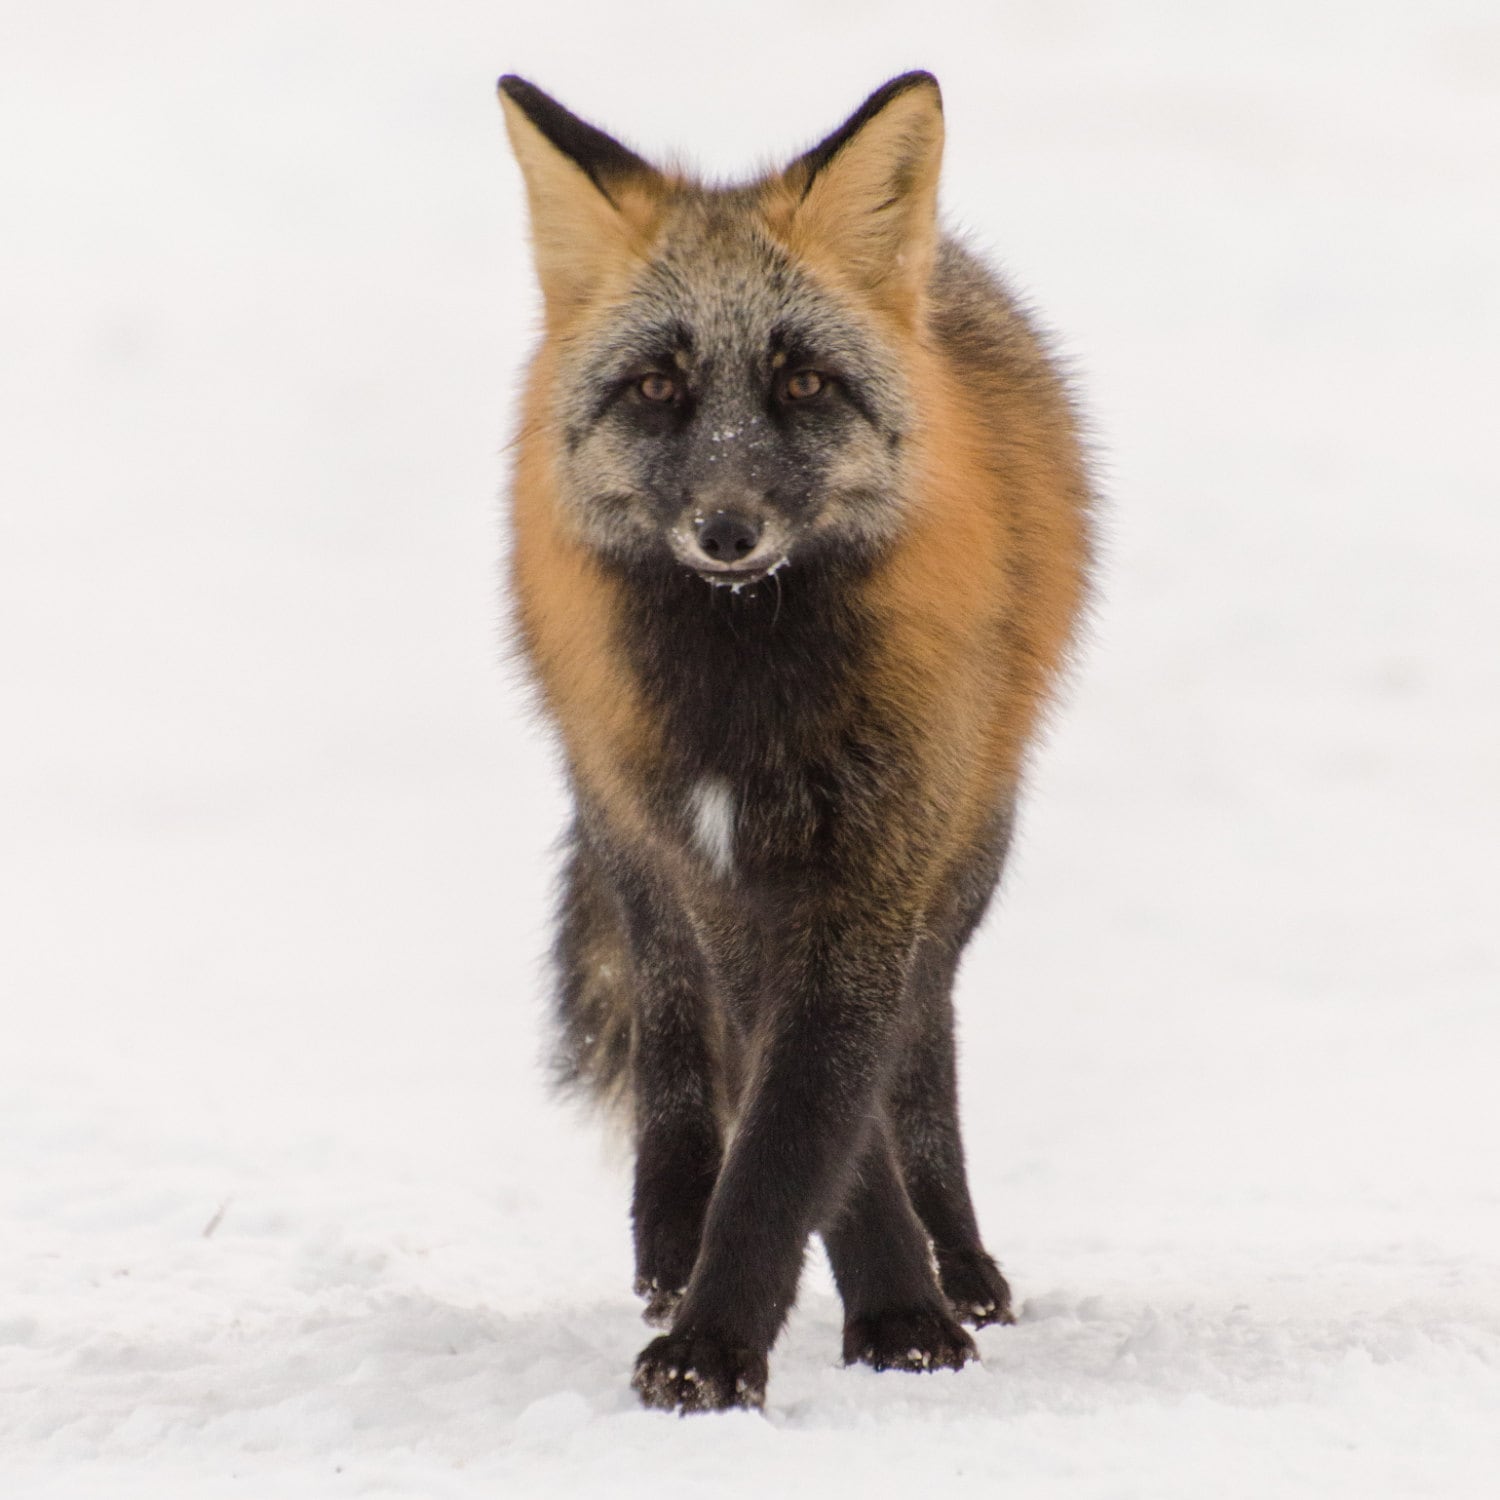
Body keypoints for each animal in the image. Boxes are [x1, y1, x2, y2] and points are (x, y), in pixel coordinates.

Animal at [496, 71, 1092, 1413]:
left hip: (966, 853)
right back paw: (670, 1238)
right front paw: (760, 1322)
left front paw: (881, 1322)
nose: (727, 530)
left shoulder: (874, 868)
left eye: (805, 386)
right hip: (631, 829)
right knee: (671, 1023)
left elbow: (810, 1120)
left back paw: (960, 1259)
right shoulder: (720, 875)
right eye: (659, 388)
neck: (755, 696)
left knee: (922, 1049)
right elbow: (794, 1122)